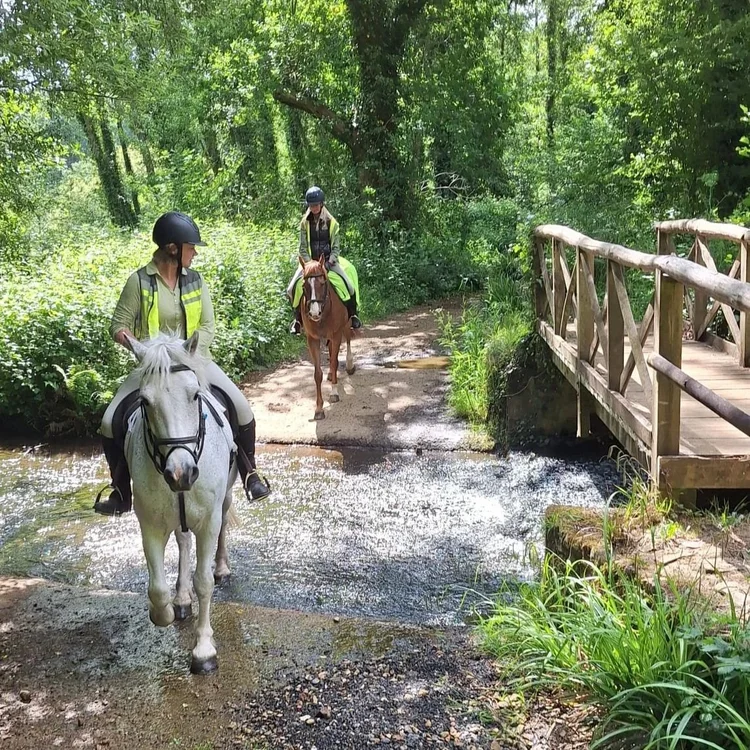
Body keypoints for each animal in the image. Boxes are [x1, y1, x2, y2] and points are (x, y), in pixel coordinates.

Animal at [123, 332, 237, 674]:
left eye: (195, 395)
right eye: (145, 402)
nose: (181, 474)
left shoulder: (209, 521)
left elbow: (204, 582)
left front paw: (204, 650)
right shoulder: (149, 524)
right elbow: (157, 588)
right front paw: (164, 613)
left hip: (225, 499)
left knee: (223, 526)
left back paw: (221, 568)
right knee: (183, 542)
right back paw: (182, 598)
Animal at [299, 256, 356, 419]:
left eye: (322, 283)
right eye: (304, 285)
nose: (314, 313)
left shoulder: (336, 335)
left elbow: (335, 363)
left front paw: (334, 393)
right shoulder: (312, 339)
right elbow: (318, 373)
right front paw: (319, 409)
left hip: (346, 324)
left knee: (348, 339)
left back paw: (349, 365)